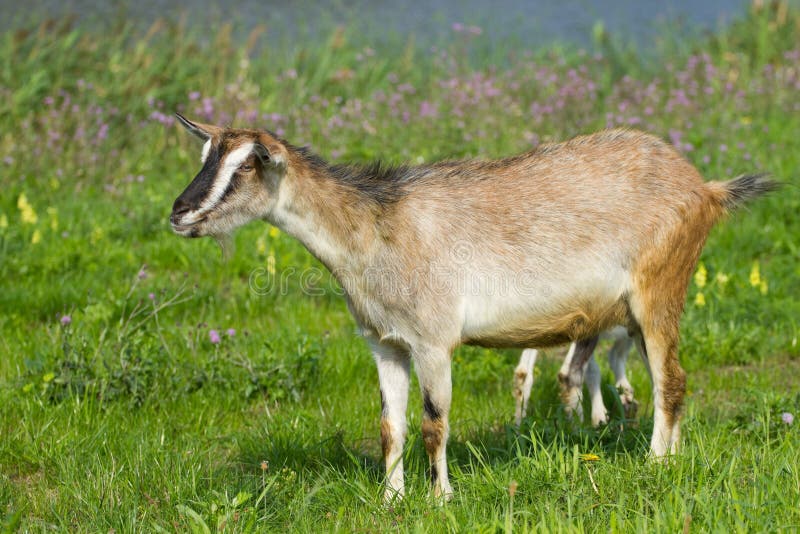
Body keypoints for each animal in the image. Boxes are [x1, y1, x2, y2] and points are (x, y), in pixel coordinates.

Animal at [169, 113, 776, 501]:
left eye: (248, 166)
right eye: (205, 156)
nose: (180, 212)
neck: (377, 228)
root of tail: (705, 188)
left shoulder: (433, 341)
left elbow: (434, 424)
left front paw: (440, 499)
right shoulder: (385, 344)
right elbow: (390, 427)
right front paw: (391, 500)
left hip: (658, 291)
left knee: (671, 381)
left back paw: (656, 463)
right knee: (667, 378)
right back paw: (670, 455)